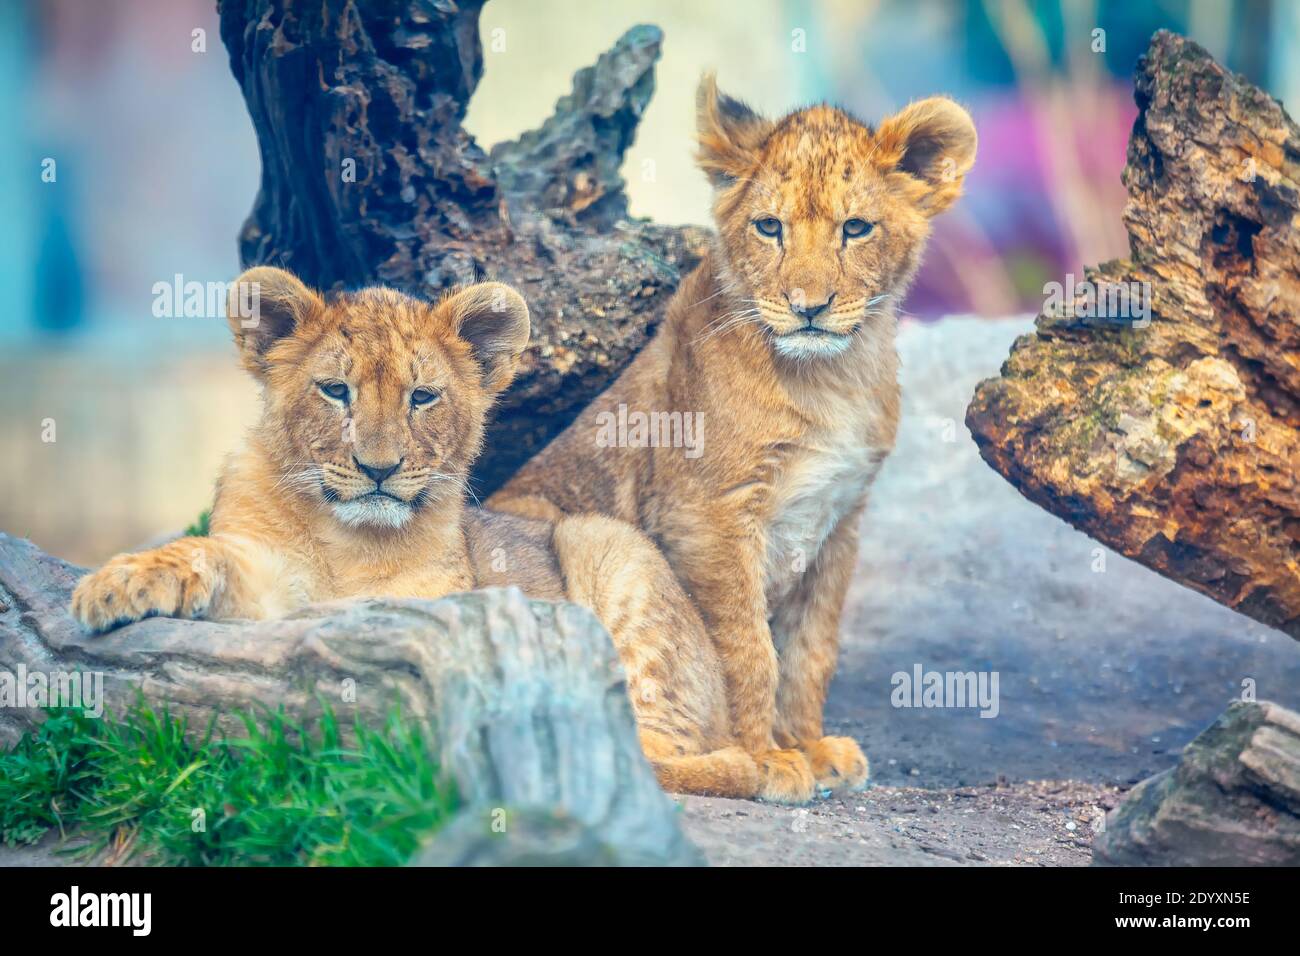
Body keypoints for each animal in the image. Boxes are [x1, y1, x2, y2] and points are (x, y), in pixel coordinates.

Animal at [69, 266, 818, 803]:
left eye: (421, 397)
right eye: (335, 391)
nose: (377, 468)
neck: (343, 536)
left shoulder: (442, 604)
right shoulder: (258, 568)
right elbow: (202, 556)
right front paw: (116, 585)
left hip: (605, 545)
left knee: (667, 753)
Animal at [490, 77, 978, 801]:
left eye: (855, 228)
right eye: (769, 227)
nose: (809, 306)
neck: (832, 377)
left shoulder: (839, 522)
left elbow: (809, 649)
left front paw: (809, 745)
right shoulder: (707, 515)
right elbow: (745, 649)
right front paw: (766, 758)